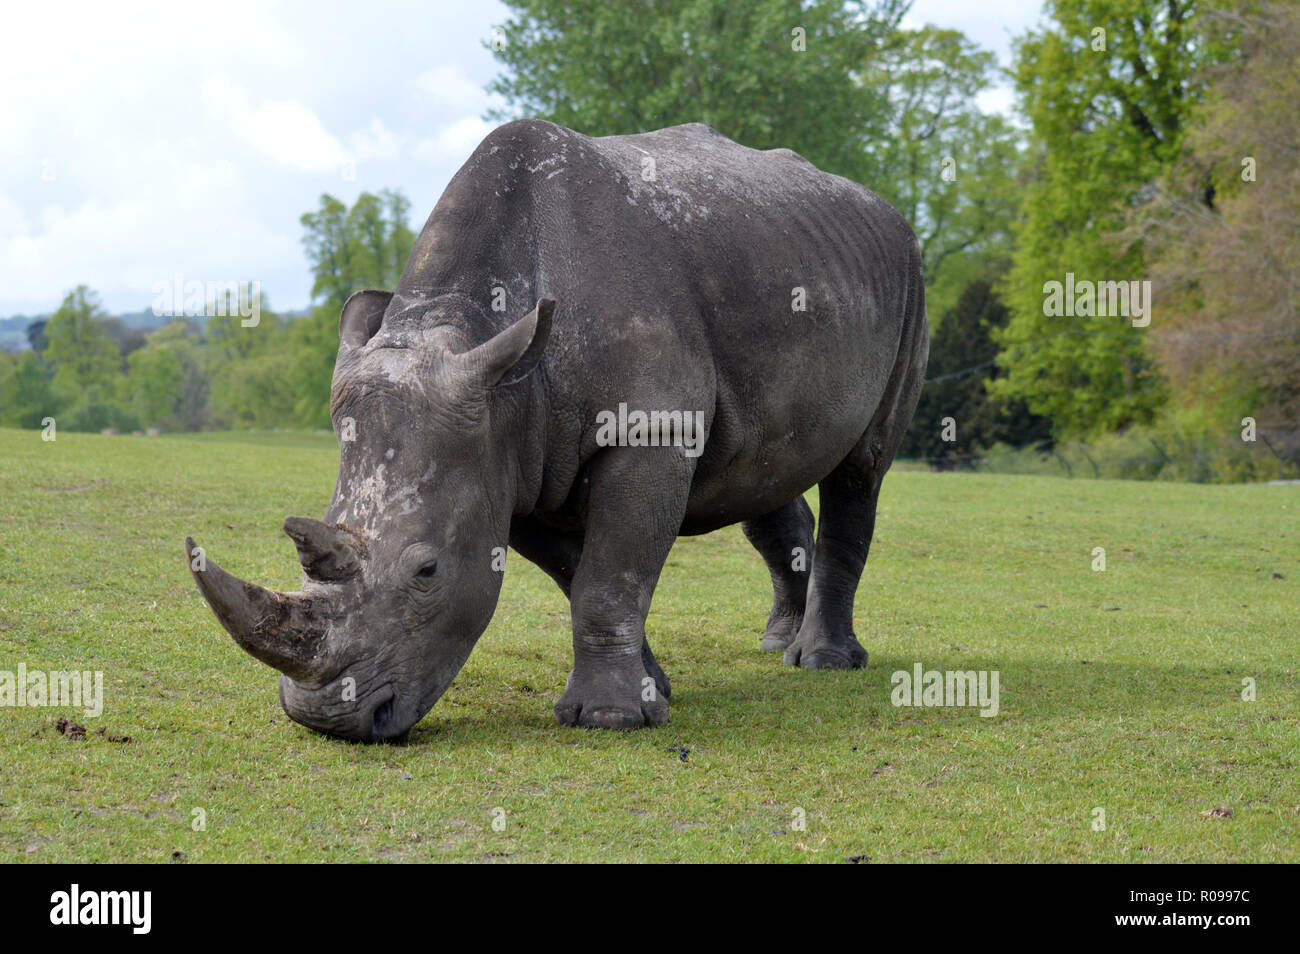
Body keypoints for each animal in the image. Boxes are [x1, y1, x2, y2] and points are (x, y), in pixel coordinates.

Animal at [186, 119, 928, 742]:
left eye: (427, 570)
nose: (327, 721)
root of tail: (885, 209)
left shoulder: (647, 429)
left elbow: (608, 574)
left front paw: (609, 719)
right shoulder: (508, 456)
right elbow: (582, 574)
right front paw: (653, 692)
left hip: (909, 280)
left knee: (862, 468)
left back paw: (825, 663)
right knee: (764, 472)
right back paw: (778, 644)